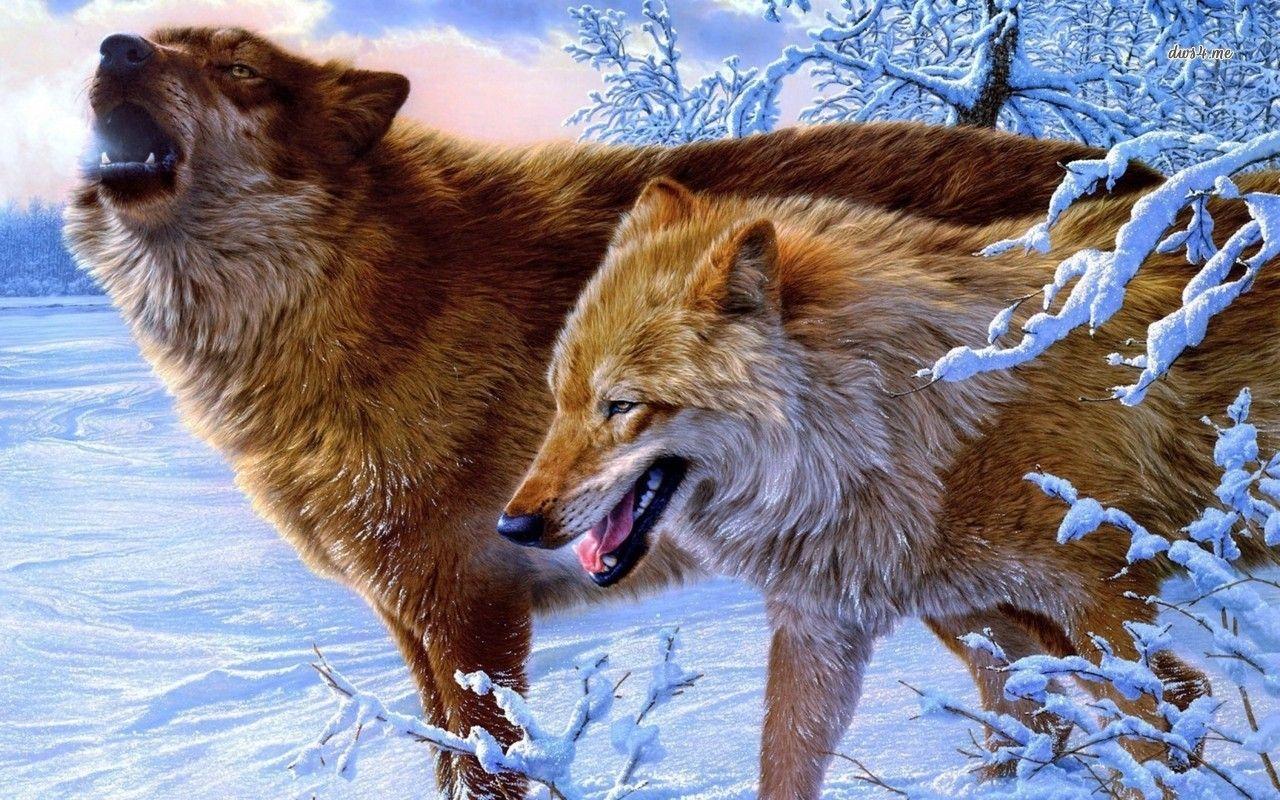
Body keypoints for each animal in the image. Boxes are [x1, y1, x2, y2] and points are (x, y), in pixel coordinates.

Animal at [64, 26, 1160, 798]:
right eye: (160, 39)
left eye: (240, 68)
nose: (114, 48)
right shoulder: (405, 612)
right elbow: (445, 759)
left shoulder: (468, 607)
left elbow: (490, 767)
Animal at [502, 177, 1280, 798]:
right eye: (560, 399)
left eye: (620, 405)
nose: (513, 526)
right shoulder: (846, 621)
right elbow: (793, 760)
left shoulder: (1102, 597)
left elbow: (1167, 715)